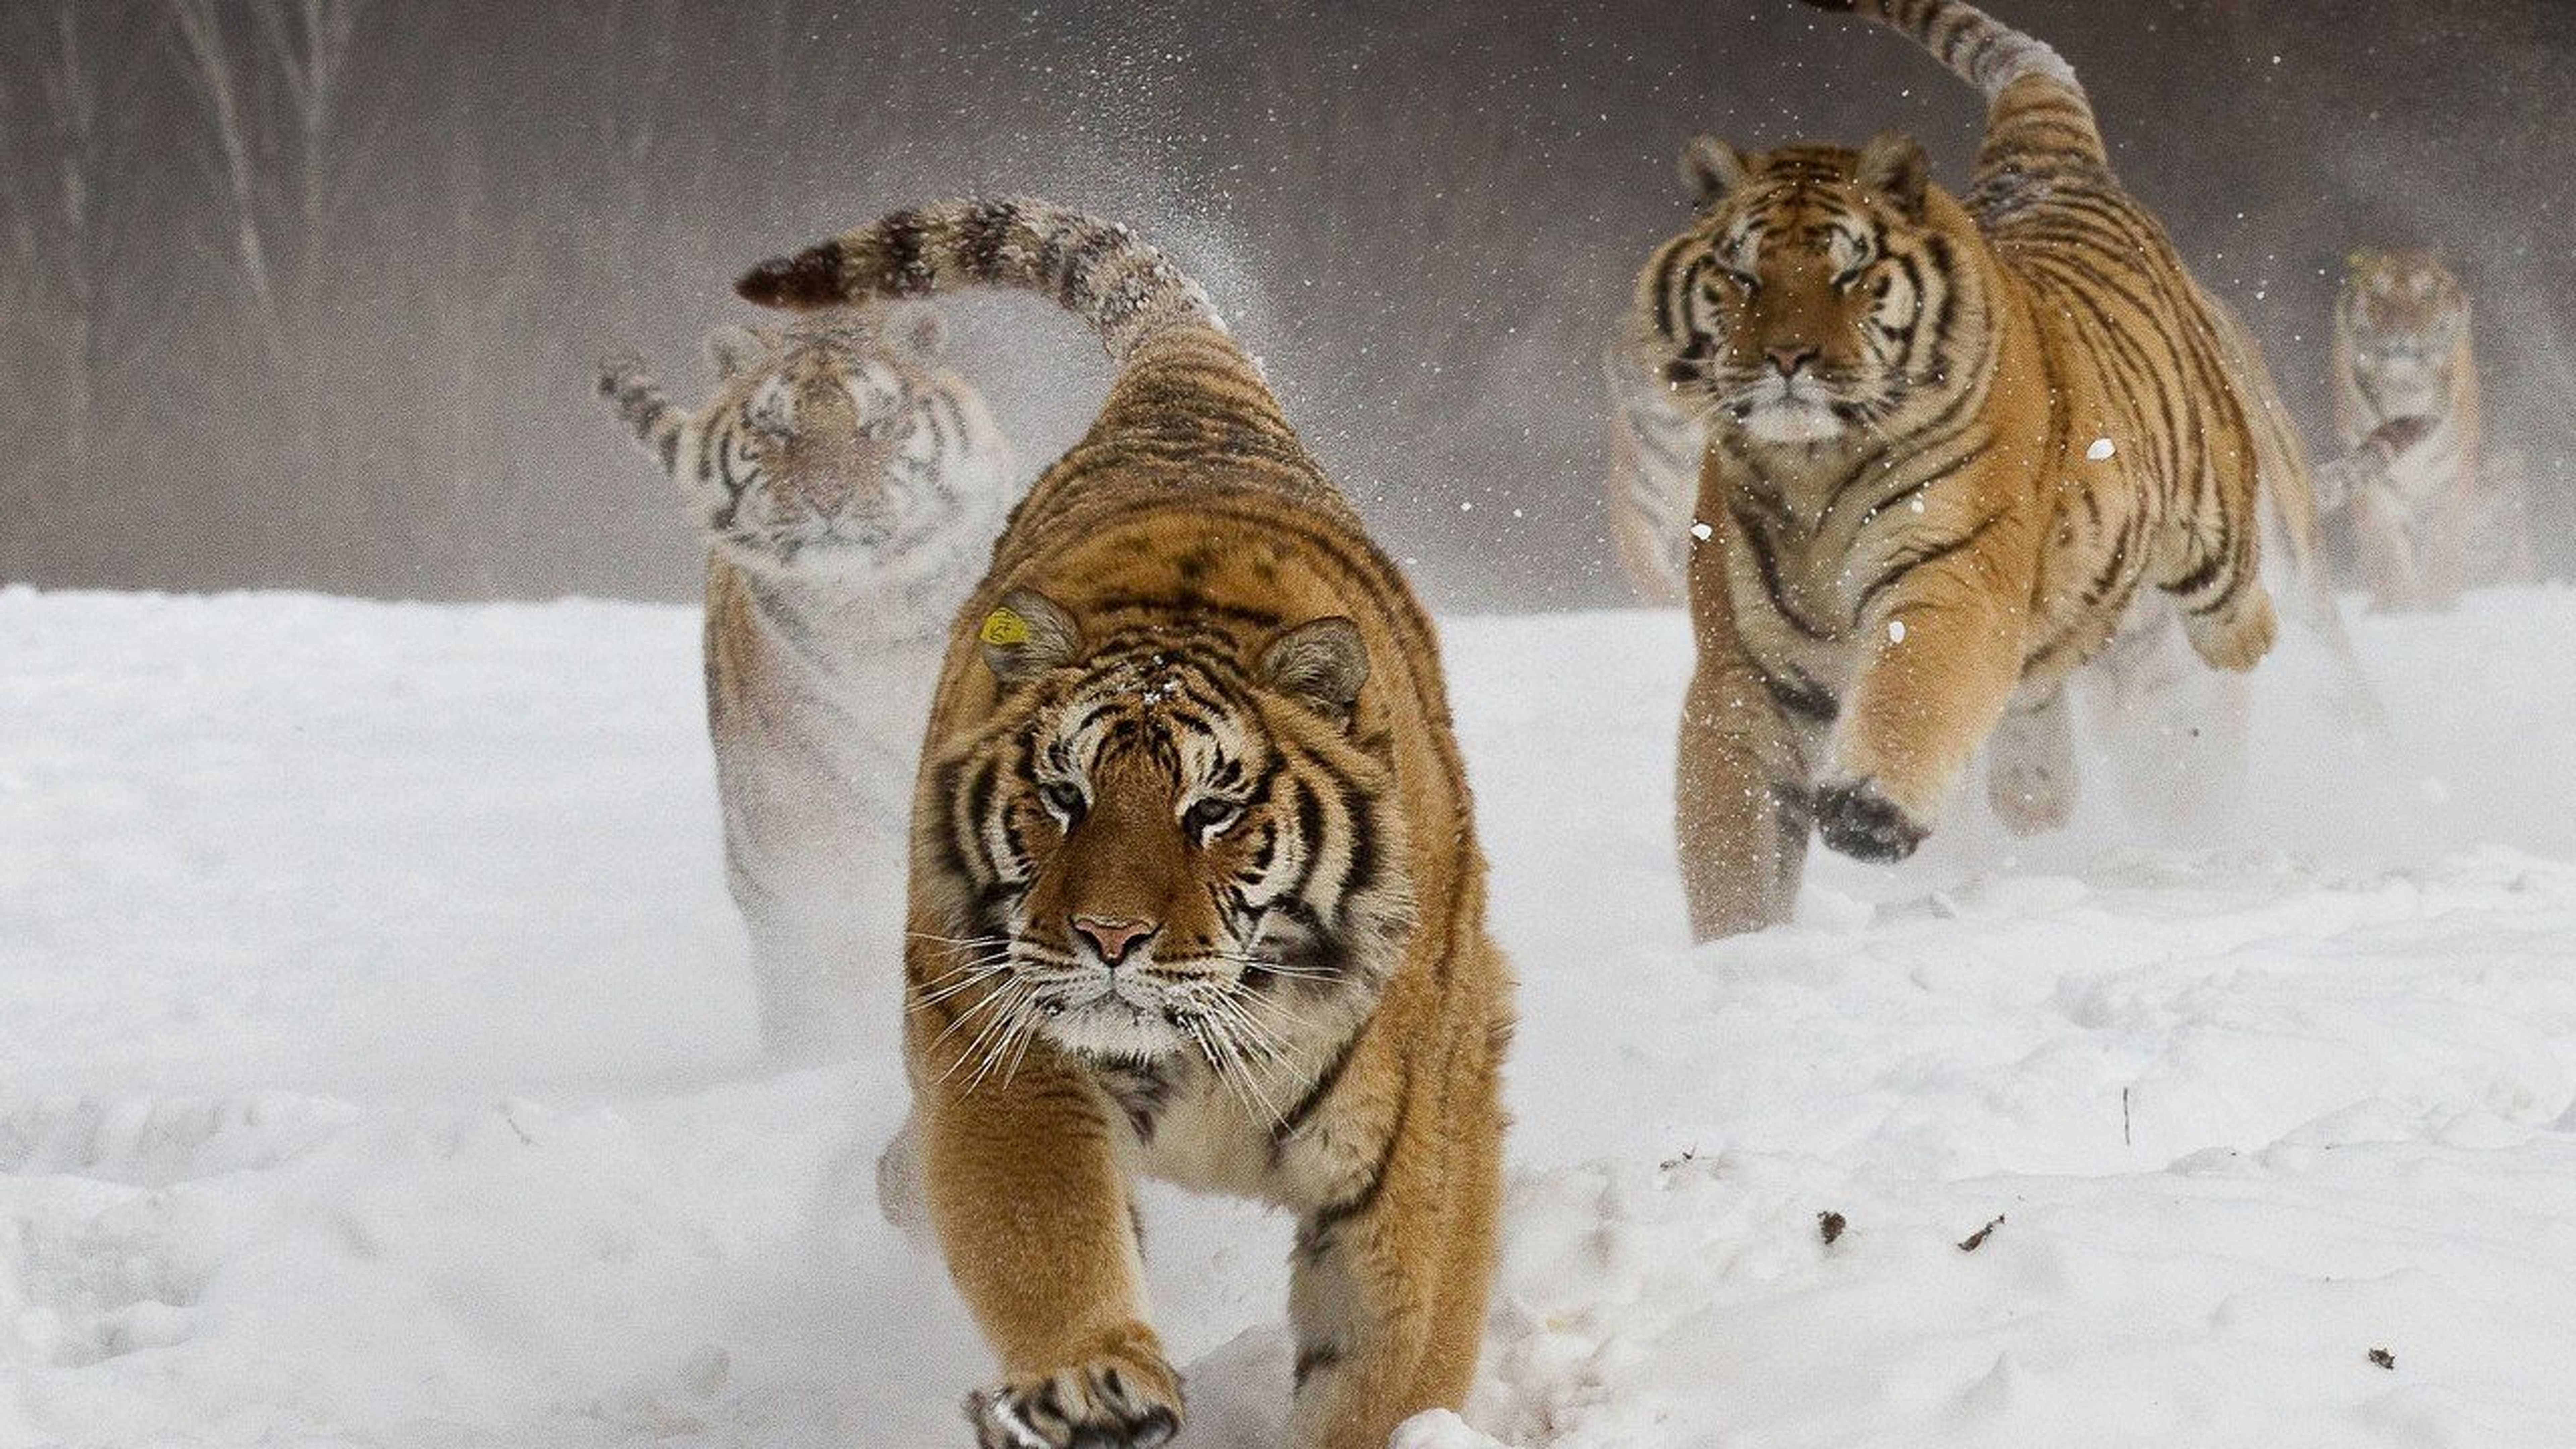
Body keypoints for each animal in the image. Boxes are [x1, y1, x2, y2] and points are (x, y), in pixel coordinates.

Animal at [733, 198, 1512, 1449]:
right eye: (1065, 797)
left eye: (1214, 810)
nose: (1109, 939)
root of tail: (1184, 390)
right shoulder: (1008, 1055)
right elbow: (1047, 1238)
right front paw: (1094, 1384)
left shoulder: (1419, 1135)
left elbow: (1390, 1357)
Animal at [1635, 0, 2309, 939]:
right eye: (1741, 274)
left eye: (1849, 272)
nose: (1787, 358)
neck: (1812, 468)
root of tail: (2050, 162)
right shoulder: (1746, 665)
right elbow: (1730, 834)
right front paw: (1738, 951)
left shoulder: (1952, 576)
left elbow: (1916, 688)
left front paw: (1868, 811)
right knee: (2039, 685)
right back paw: (2036, 793)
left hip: (2205, 514)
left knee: (2227, 609)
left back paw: (2238, 647)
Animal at [2331, 247, 2529, 608]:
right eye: (2379, 292)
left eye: (2426, 294)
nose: (2400, 329)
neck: (2405, 387)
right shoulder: (2372, 476)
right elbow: (2388, 550)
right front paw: (2397, 609)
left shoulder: (2452, 476)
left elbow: (2442, 548)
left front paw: (2437, 608)